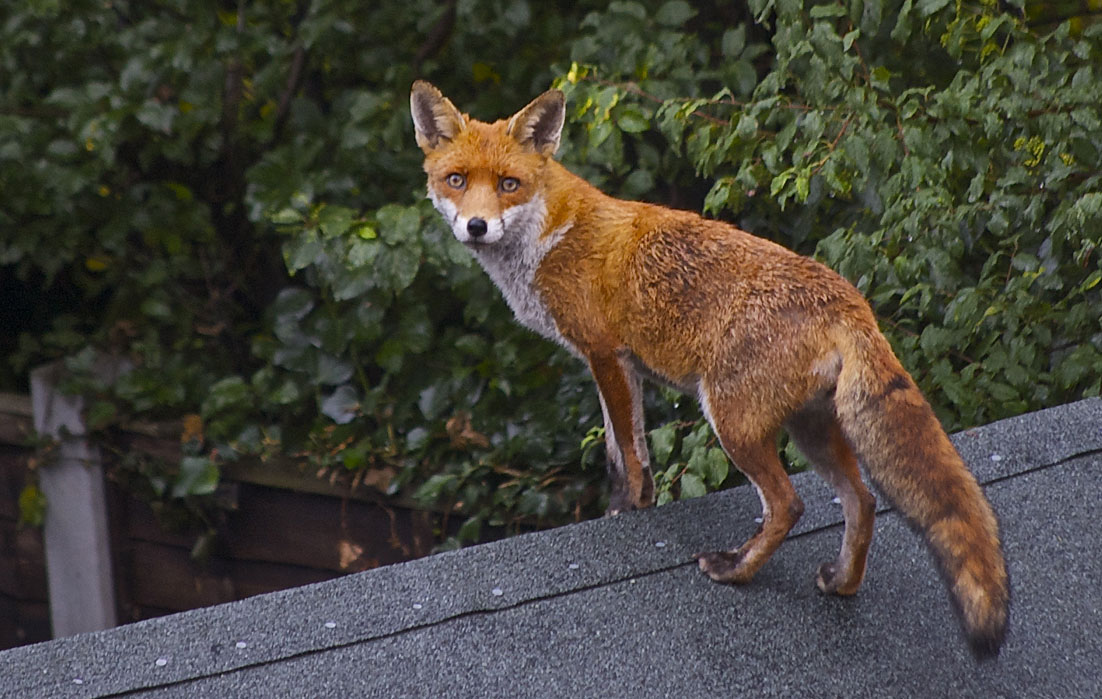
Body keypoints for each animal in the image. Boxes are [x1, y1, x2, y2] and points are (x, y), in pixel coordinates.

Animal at [410, 80, 1009, 658]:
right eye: (457, 180)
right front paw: (630, 507)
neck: (549, 236)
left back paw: (737, 570)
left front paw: (627, 514)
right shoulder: (619, 368)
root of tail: (849, 299)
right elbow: (627, 455)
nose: (477, 226)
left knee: (789, 505)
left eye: (509, 183)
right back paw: (842, 582)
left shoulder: (606, 355)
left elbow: (627, 457)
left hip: (731, 421)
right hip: (810, 427)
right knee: (861, 501)